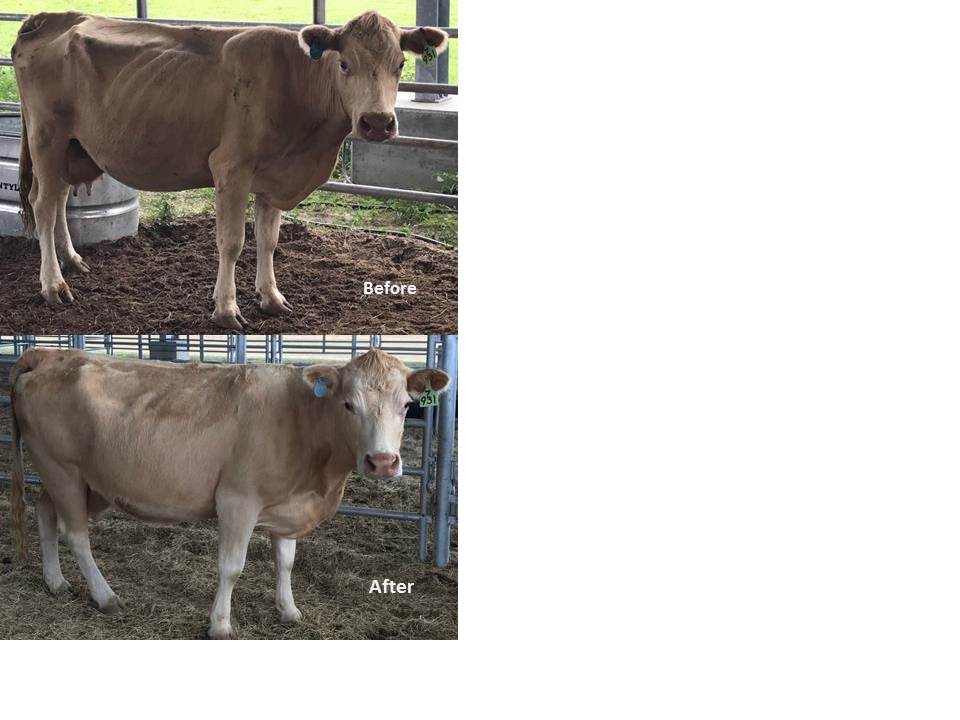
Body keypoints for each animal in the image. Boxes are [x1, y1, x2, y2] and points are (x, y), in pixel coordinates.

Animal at [8, 347, 449, 638]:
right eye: (348, 404)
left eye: (406, 405)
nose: (383, 461)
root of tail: (49, 353)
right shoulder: (238, 500)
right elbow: (232, 567)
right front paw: (220, 624)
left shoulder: (287, 506)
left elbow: (286, 561)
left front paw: (289, 610)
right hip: (61, 467)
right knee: (76, 535)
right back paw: (105, 597)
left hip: (83, 480)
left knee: (45, 512)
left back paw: (55, 582)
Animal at [11, 12, 449, 329]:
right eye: (344, 63)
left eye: (400, 64)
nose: (378, 123)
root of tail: (51, 17)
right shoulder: (230, 170)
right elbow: (232, 242)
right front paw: (226, 309)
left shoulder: (275, 177)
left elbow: (269, 241)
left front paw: (271, 297)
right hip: (47, 136)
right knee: (44, 206)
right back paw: (54, 286)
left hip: (71, 145)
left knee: (59, 198)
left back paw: (72, 261)